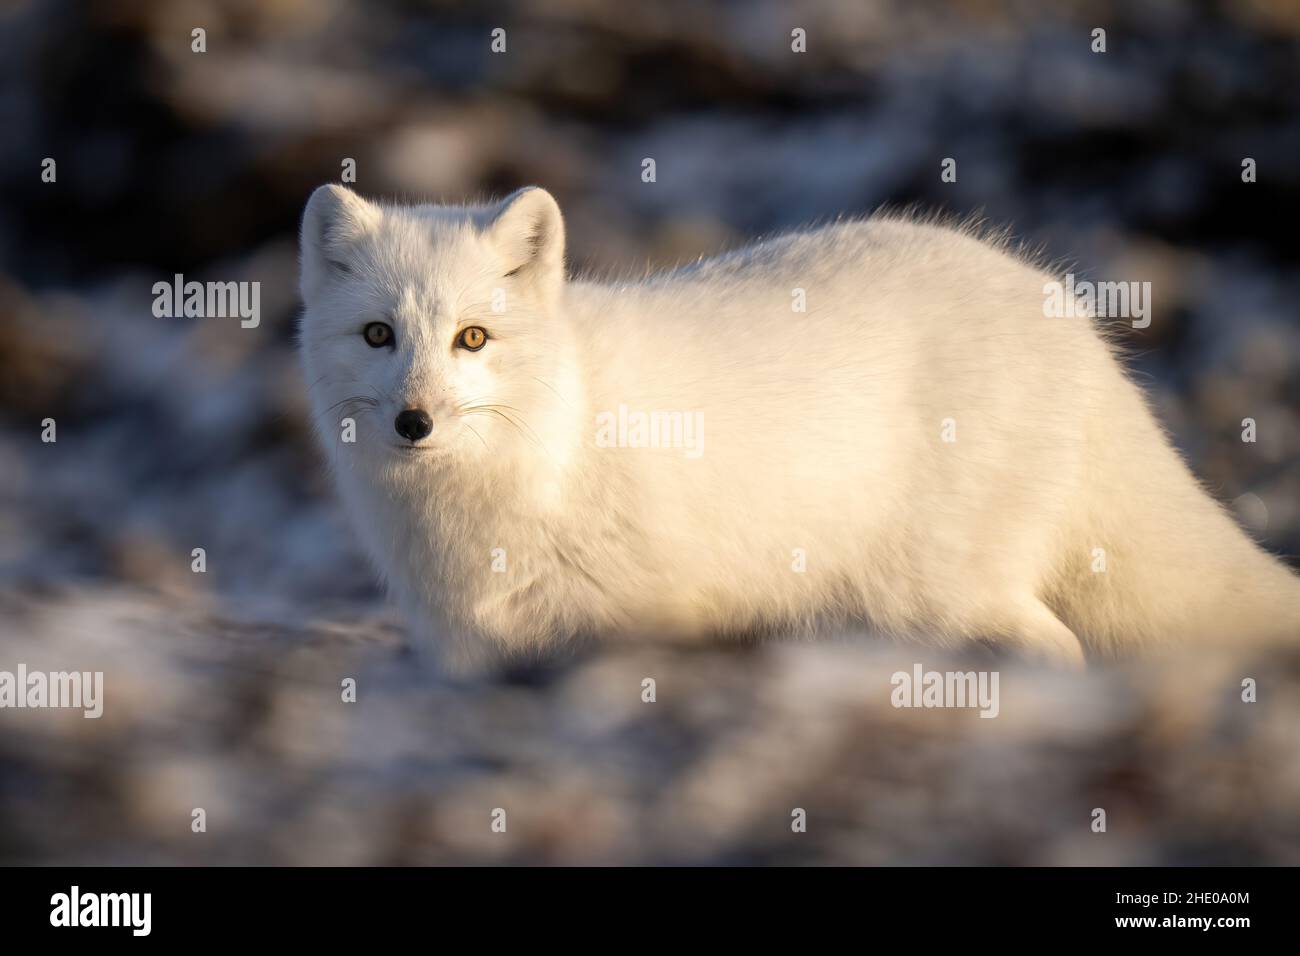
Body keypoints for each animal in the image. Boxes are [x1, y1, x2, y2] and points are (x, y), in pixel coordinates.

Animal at [298, 184, 1300, 672]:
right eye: (379, 335)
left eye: (473, 337)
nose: (415, 420)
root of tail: (1075, 327)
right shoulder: (472, 650)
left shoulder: (647, 616)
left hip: (930, 593)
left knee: (1059, 648)